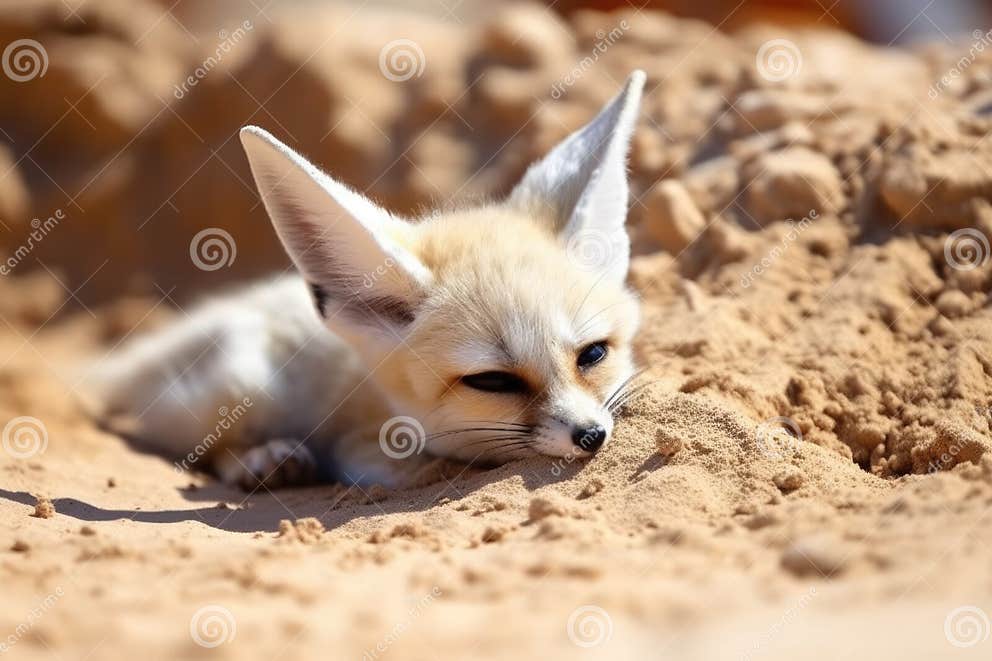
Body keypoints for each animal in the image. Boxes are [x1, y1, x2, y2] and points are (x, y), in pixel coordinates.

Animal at [92, 71, 646, 490]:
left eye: (593, 354)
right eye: (493, 381)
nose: (591, 436)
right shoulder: (362, 449)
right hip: (240, 386)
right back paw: (262, 459)